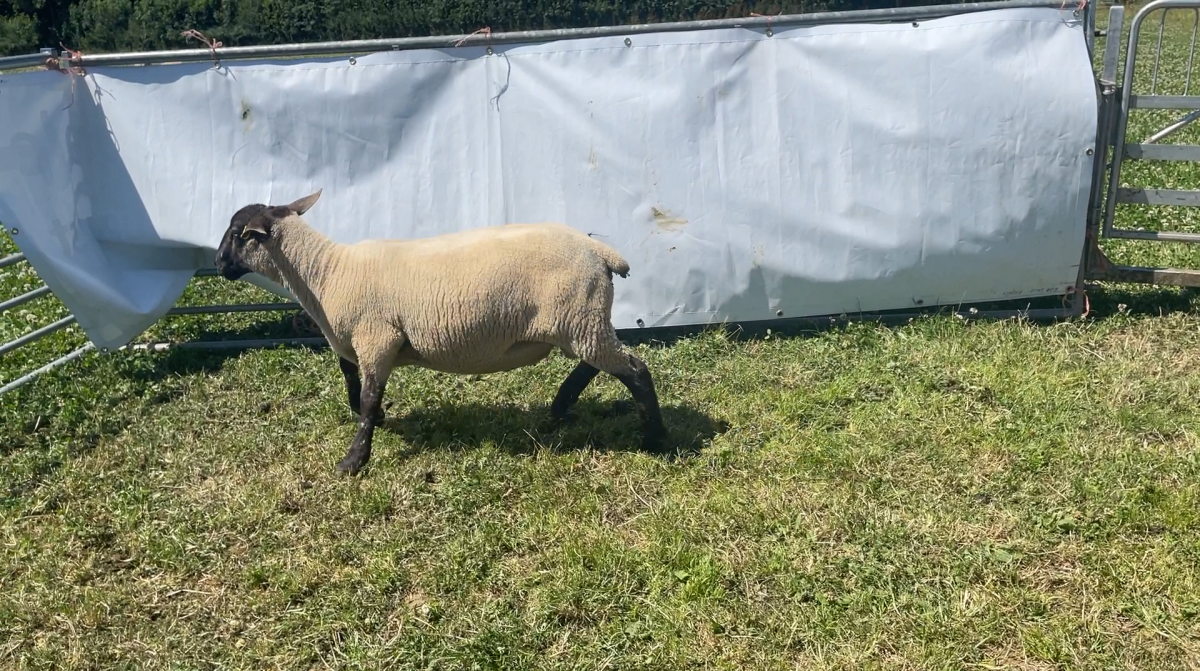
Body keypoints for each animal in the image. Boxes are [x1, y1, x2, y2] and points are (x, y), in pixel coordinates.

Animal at [213, 189, 668, 475]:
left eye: (237, 235)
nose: (218, 264)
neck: (326, 273)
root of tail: (599, 251)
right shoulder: (355, 342)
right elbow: (352, 382)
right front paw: (372, 422)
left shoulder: (377, 338)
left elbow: (368, 394)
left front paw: (354, 461)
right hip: (582, 322)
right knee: (599, 365)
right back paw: (561, 405)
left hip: (580, 319)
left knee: (635, 370)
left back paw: (657, 440)